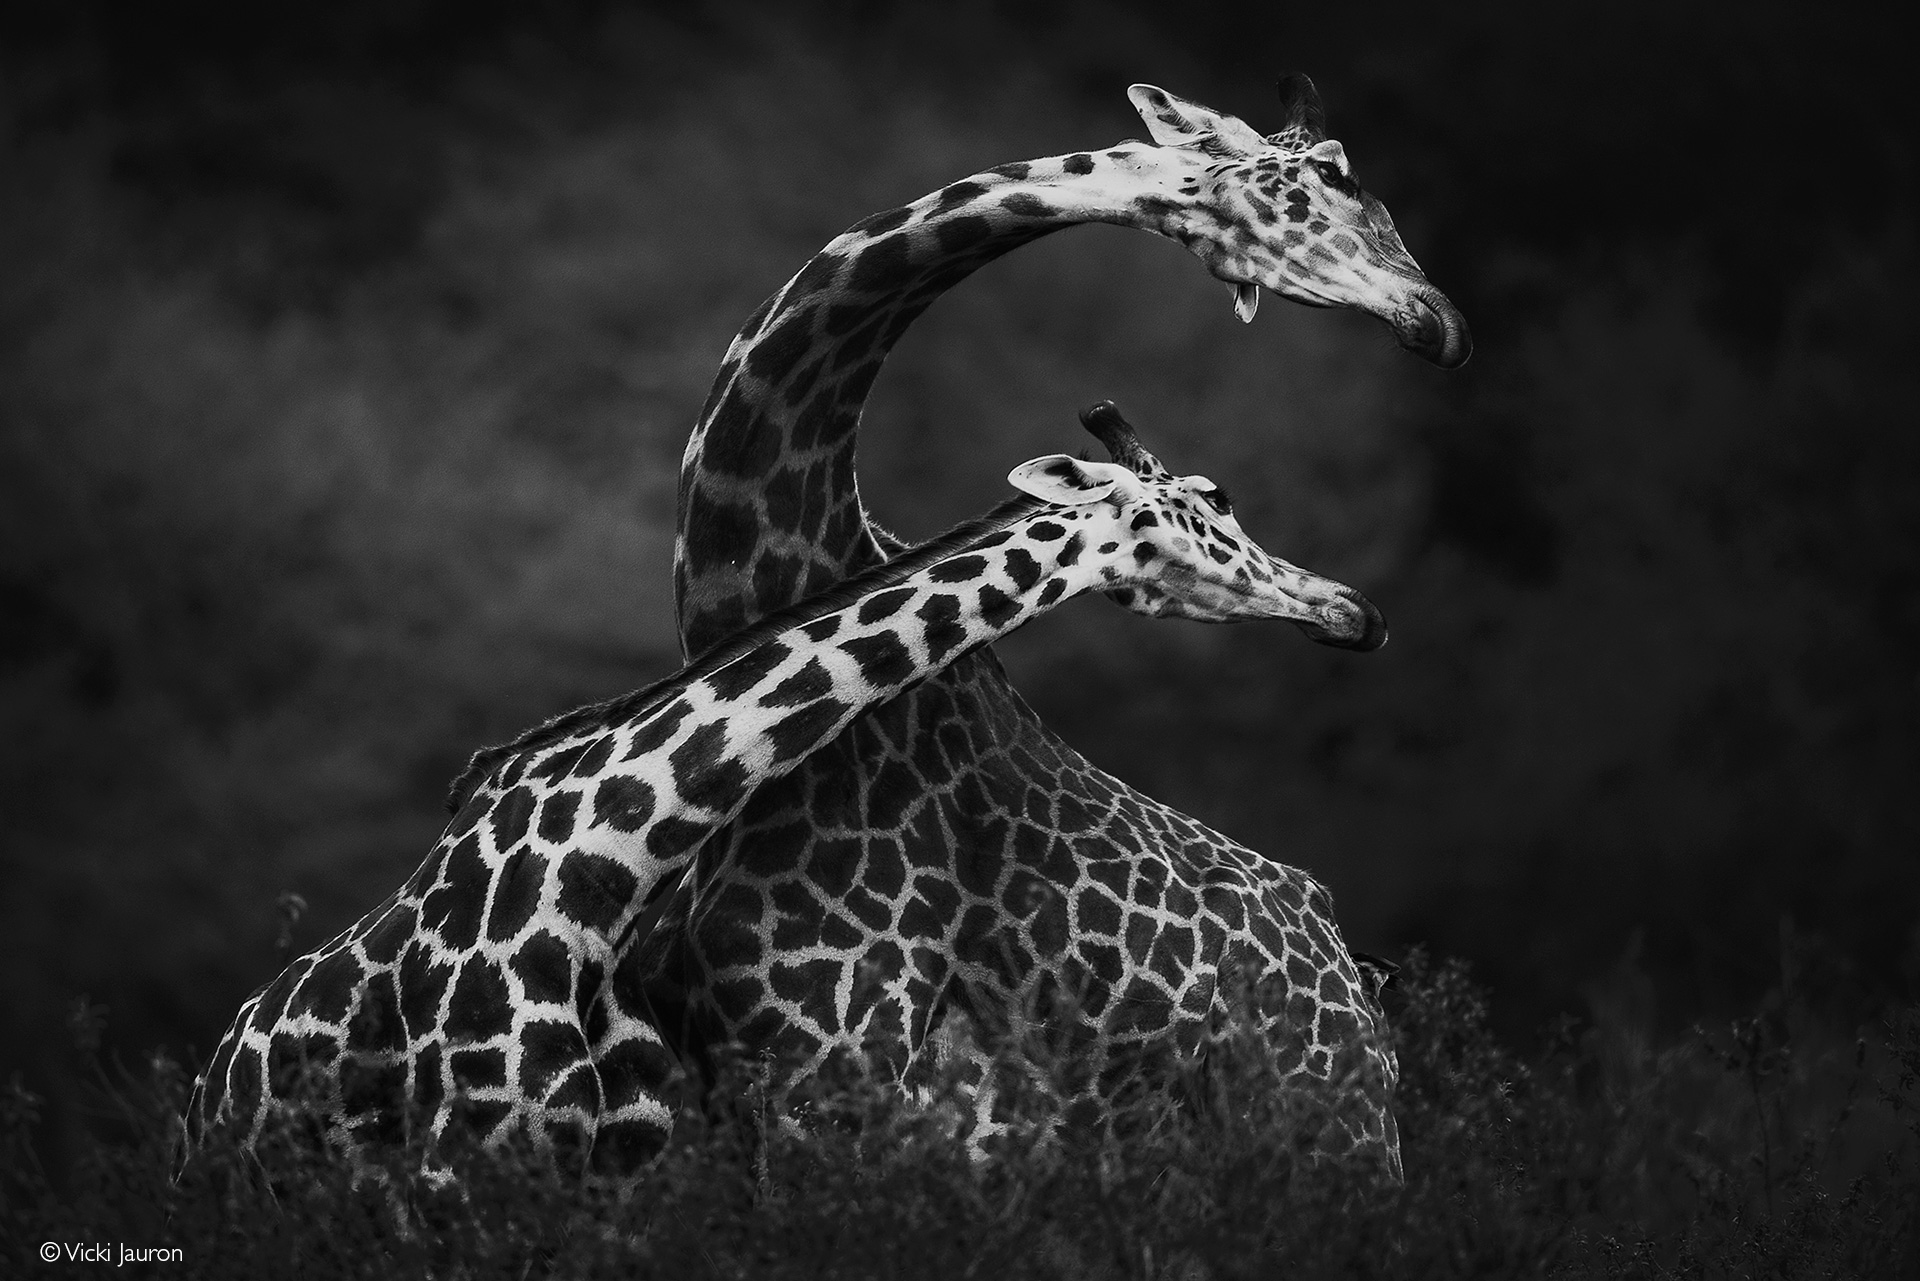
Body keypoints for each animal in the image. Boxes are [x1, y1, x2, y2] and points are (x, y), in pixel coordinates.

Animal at [187, 402, 1387, 1188]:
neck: (591, 870)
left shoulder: (615, 1166)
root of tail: (202, 1090)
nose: (1352, 609)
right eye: (1217, 498)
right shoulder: (471, 1163)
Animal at [652, 79, 1458, 1173]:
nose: (1440, 321)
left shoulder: (844, 1056)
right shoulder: (756, 1078)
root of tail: (1356, 973)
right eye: (1333, 171)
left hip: (1337, 1132)